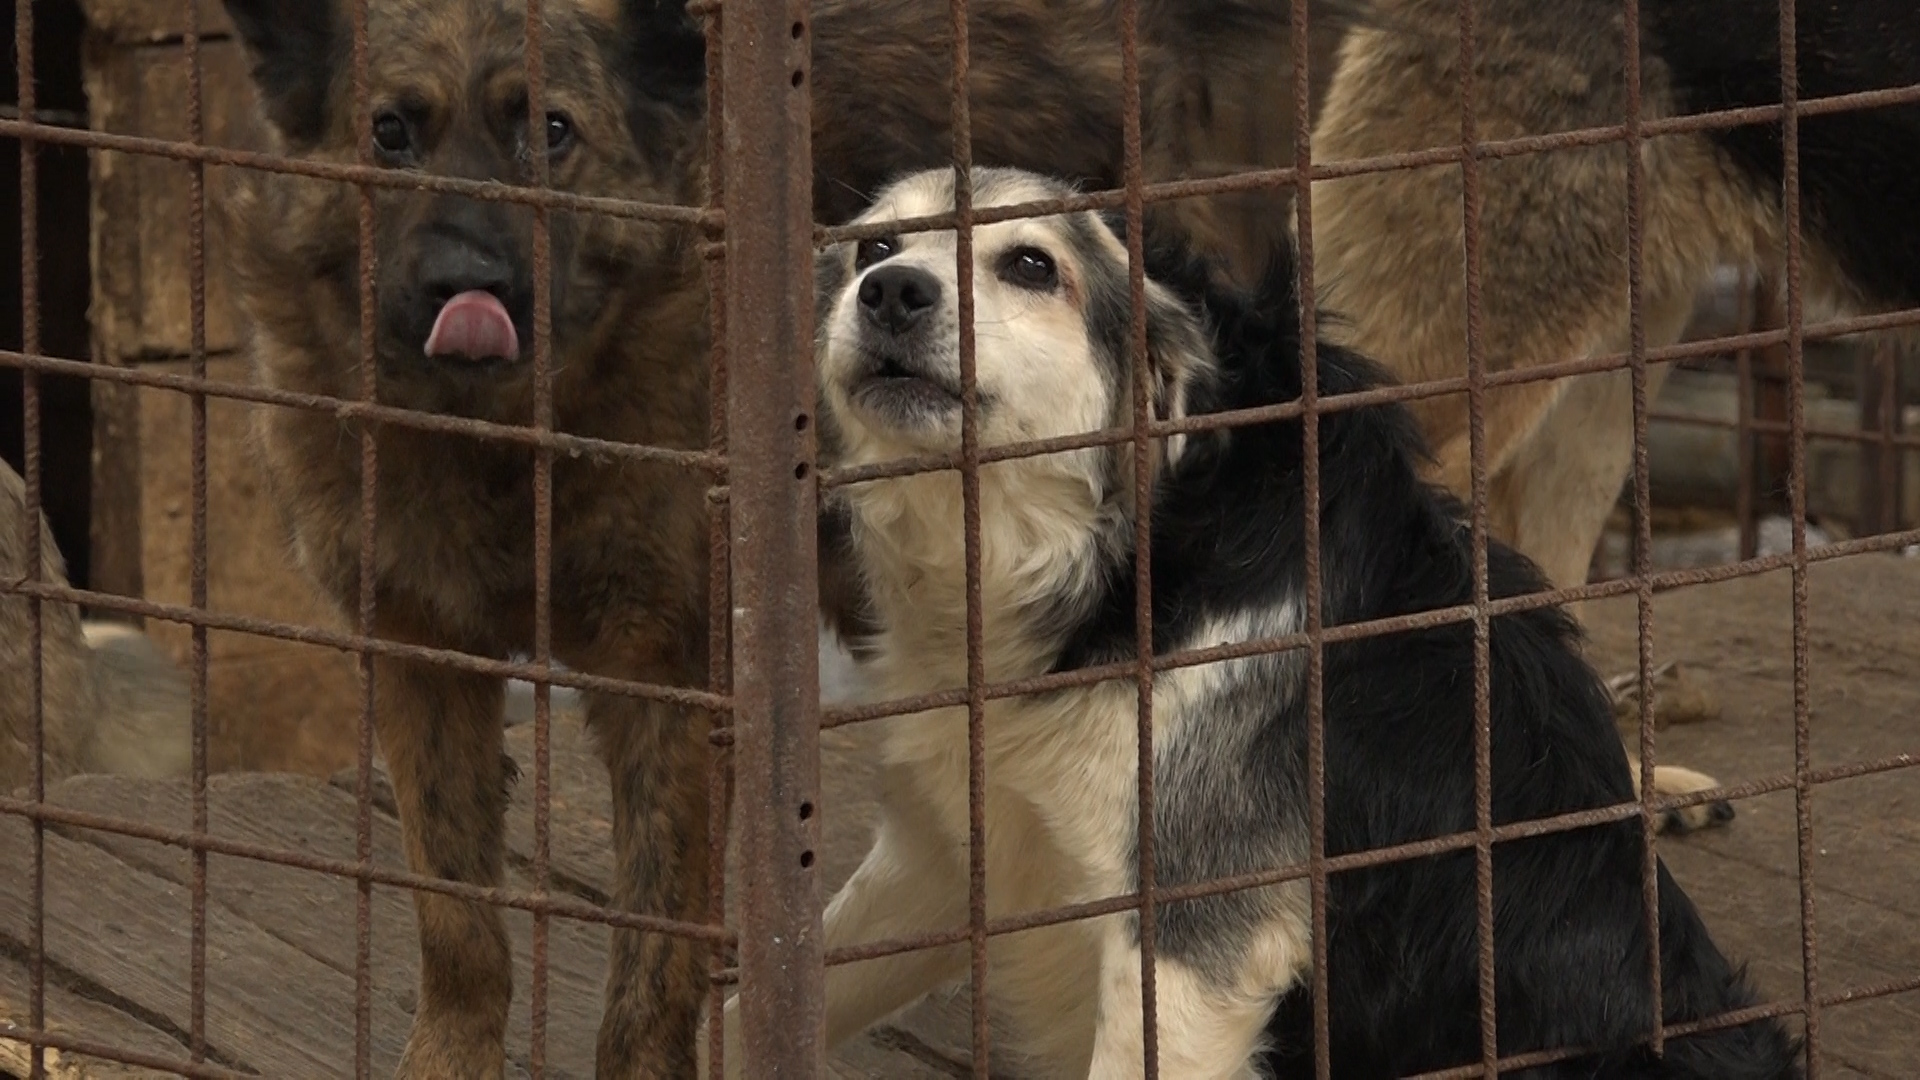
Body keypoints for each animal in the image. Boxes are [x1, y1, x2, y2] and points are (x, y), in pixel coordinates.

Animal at [217, 0, 1313, 1068]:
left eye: (554, 132)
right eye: (388, 132)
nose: (465, 279)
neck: (502, 438)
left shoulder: (669, 679)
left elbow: (653, 959)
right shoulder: (420, 654)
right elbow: (457, 919)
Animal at [718, 164, 1797, 1068]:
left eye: (1030, 265)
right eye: (874, 247)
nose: (892, 293)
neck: (1108, 556)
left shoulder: (1191, 942)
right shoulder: (945, 860)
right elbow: (750, 1014)